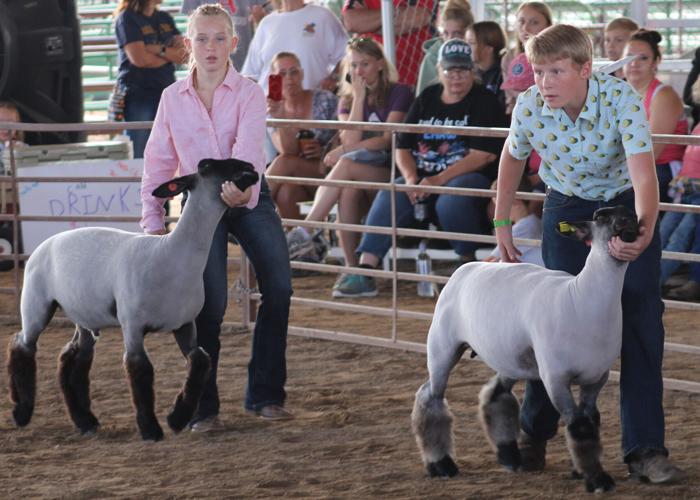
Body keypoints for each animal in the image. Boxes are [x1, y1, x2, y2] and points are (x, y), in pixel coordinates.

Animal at [6, 158, 258, 441]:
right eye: (205, 165)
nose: (251, 168)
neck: (171, 254)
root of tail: (44, 244)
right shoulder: (133, 324)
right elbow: (140, 370)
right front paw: (150, 429)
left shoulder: (185, 323)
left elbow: (200, 361)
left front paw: (177, 418)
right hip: (36, 303)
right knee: (22, 346)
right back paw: (21, 413)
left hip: (83, 313)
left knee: (73, 359)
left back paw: (85, 421)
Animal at [411, 205, 640, 493]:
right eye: (601, 218)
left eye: (631, 212)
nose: (629, 222)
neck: (582, 298)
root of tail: (466, 268)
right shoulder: (555, 378)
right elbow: (579, 426)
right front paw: (597, 479)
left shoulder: (596, 378)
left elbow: (591, 422)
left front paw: (583, 471)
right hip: (442, 347)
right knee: (430, 398)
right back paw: (441, 464)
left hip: (510, 358)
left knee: (495, 395)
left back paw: (509, 455)